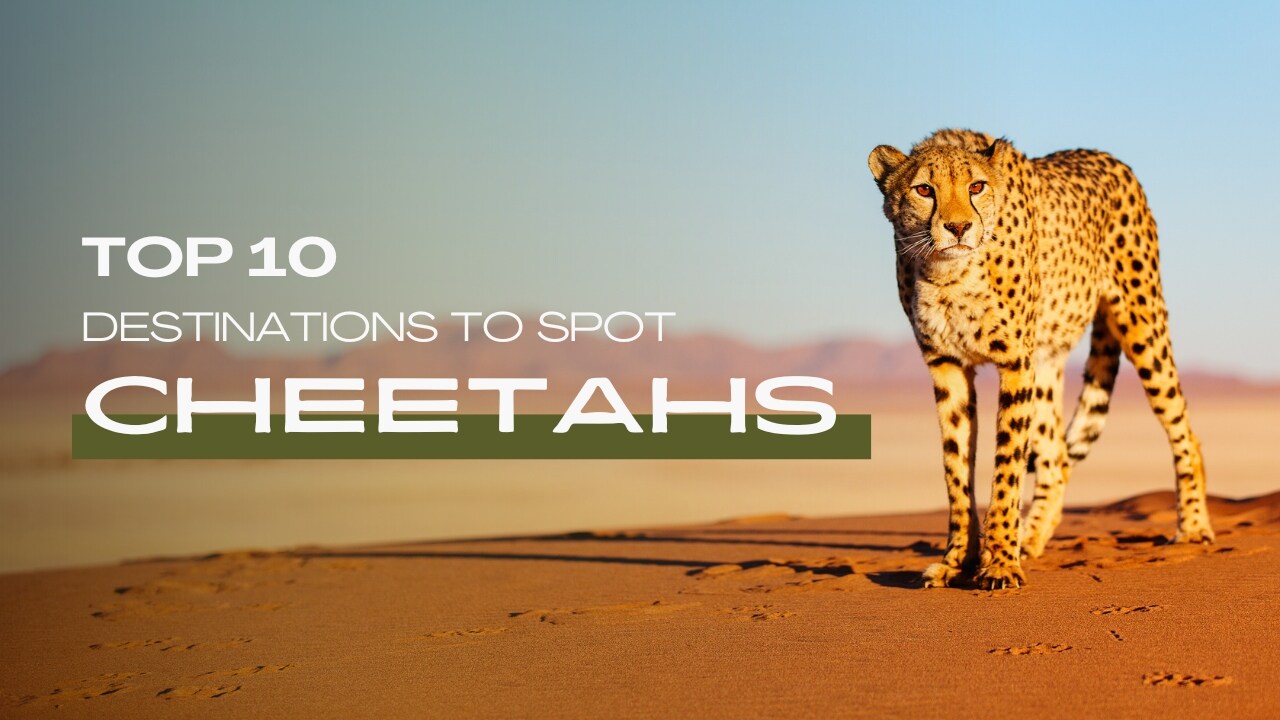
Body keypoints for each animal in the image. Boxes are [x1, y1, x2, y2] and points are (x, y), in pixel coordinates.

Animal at [867, 128, 1214, 590]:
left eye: (976, 187)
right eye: (924, 190)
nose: (958, 227)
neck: (948, 275)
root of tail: (1107, 157)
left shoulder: (1015, 363)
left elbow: (1007, 467)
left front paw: (999, 563)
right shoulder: (948, 367)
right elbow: (956, 471)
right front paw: (959, 561)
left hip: (1142, 326)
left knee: (1183, 430)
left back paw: (1192, 528)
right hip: (1048, 362)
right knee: (1056, 457)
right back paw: (1031, 538)